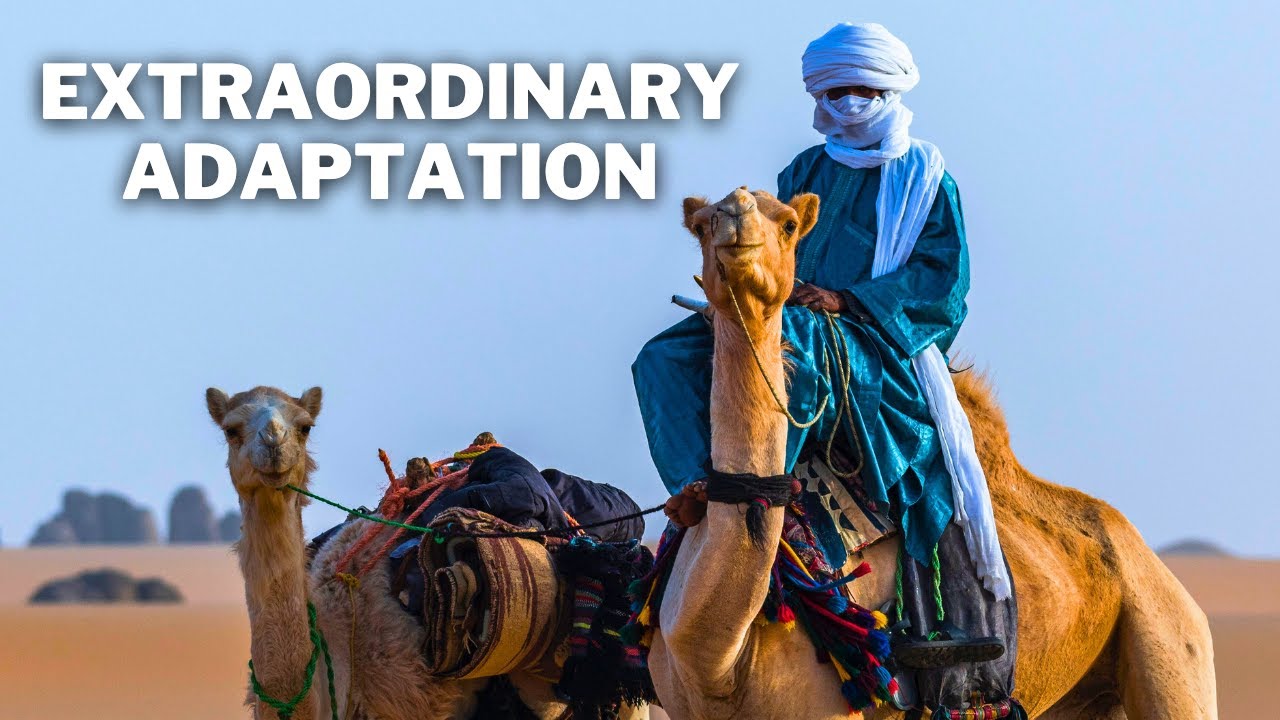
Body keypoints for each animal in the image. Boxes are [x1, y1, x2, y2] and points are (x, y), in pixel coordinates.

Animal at [643, 187, 1216, 719]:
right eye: (702, 223)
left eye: (787, 224)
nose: (736, 220)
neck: (722, 660)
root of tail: (1149, 560)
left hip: (1169, 636)